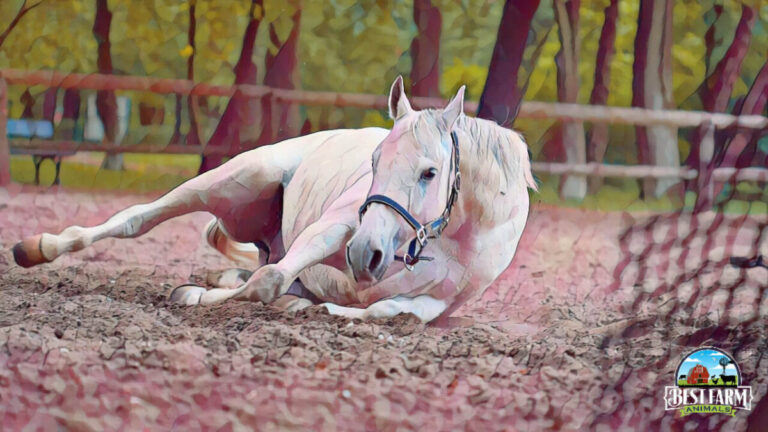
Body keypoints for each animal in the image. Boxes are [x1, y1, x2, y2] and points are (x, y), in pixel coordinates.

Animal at [12, 76, 537, 323]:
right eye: (374, 161)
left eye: (430, 172)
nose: (365, 255)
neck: (455, 235)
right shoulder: (338, 227)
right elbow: (270, 280)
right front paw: (195, 295)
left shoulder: (440, 302)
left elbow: (388, 311)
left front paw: (313, 308)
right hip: (231, 180)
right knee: (138, 219)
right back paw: (36, 248)